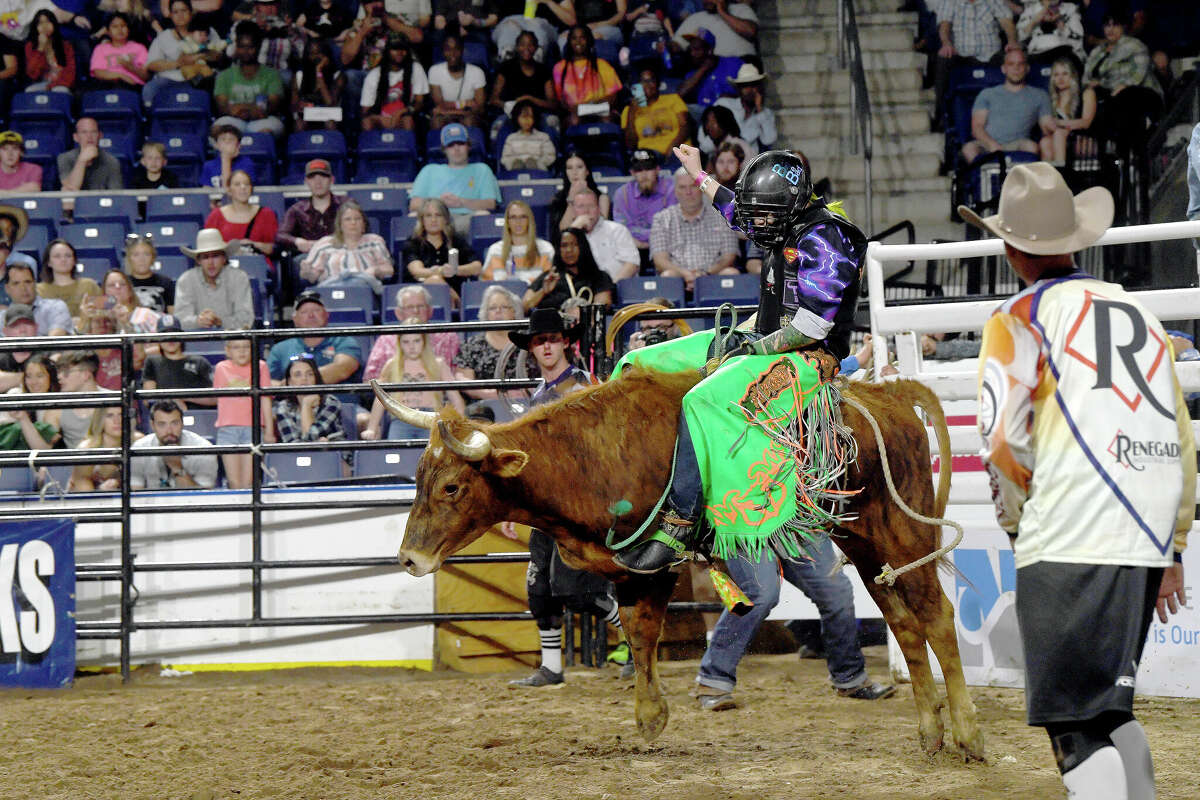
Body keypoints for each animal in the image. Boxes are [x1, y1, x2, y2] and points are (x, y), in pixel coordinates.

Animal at [375, 367, 985, 761]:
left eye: (453, 487)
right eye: (419, 478)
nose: (409, 557)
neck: (586, 453)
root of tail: (888, 395)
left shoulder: (656, 562)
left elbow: (645, 629)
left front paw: (652, 716)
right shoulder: (627, 569)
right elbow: (639, 634)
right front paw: (649, 718)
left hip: (903, 530)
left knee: (935, 617)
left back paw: (968, 735)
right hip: (862, 541)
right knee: (903, 624)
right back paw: (930, 733)